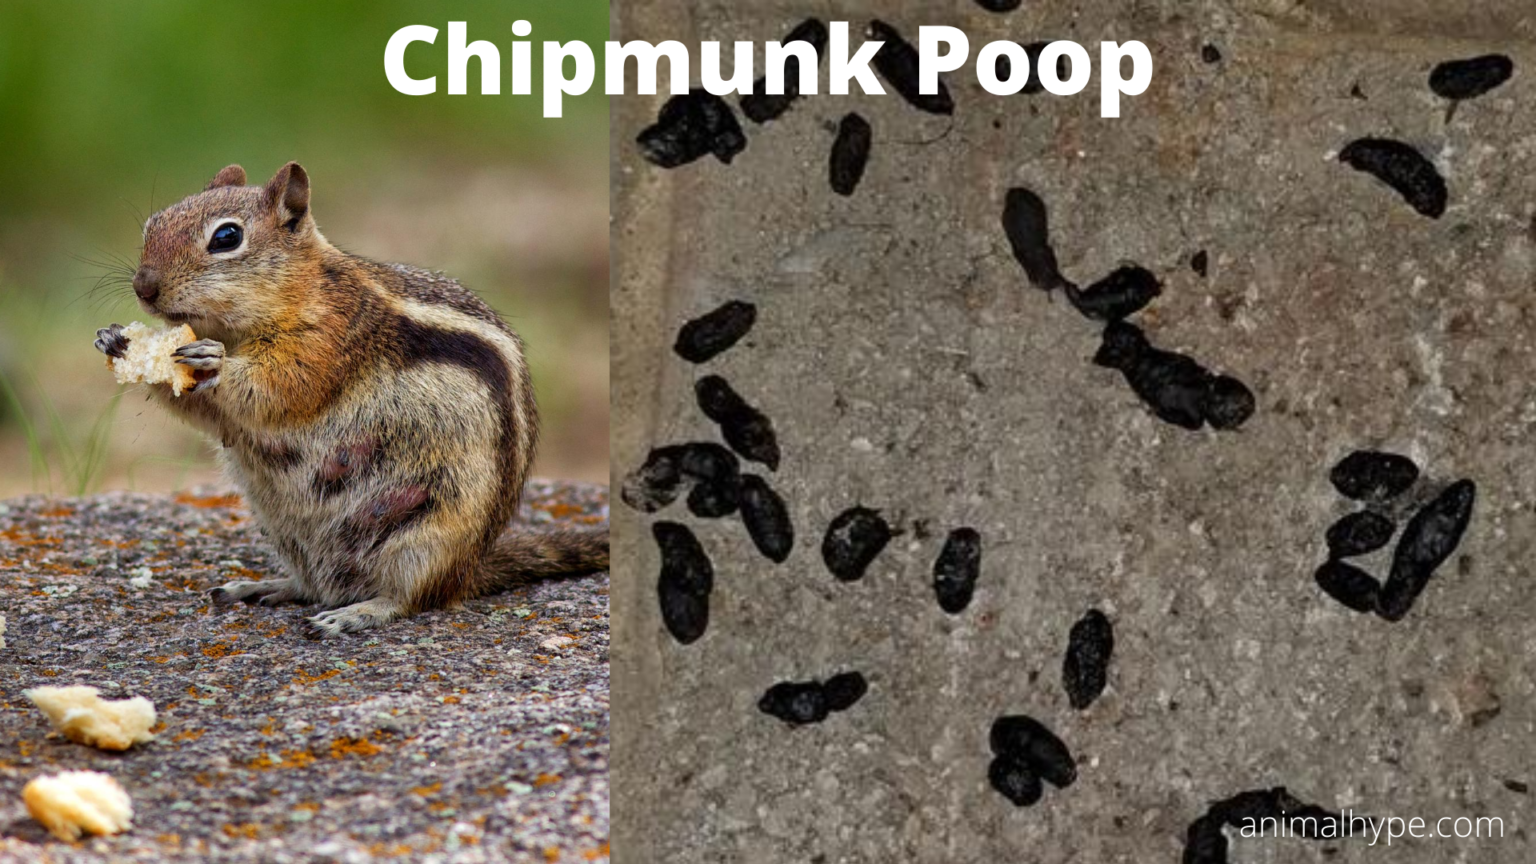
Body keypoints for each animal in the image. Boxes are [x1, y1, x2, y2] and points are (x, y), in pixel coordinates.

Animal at [93, 162, 608, 638]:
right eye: (152, 225)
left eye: (226, 237)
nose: (143, 288)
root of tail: (470, 571)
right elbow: (208, 413)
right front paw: (116, 341)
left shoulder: (330, 340)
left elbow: (281, 387)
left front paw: (213, 362)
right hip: (283, 530)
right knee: (316, 584)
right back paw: (266, 586)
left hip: (427, 536)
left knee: (412, 597)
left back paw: (354, 614)